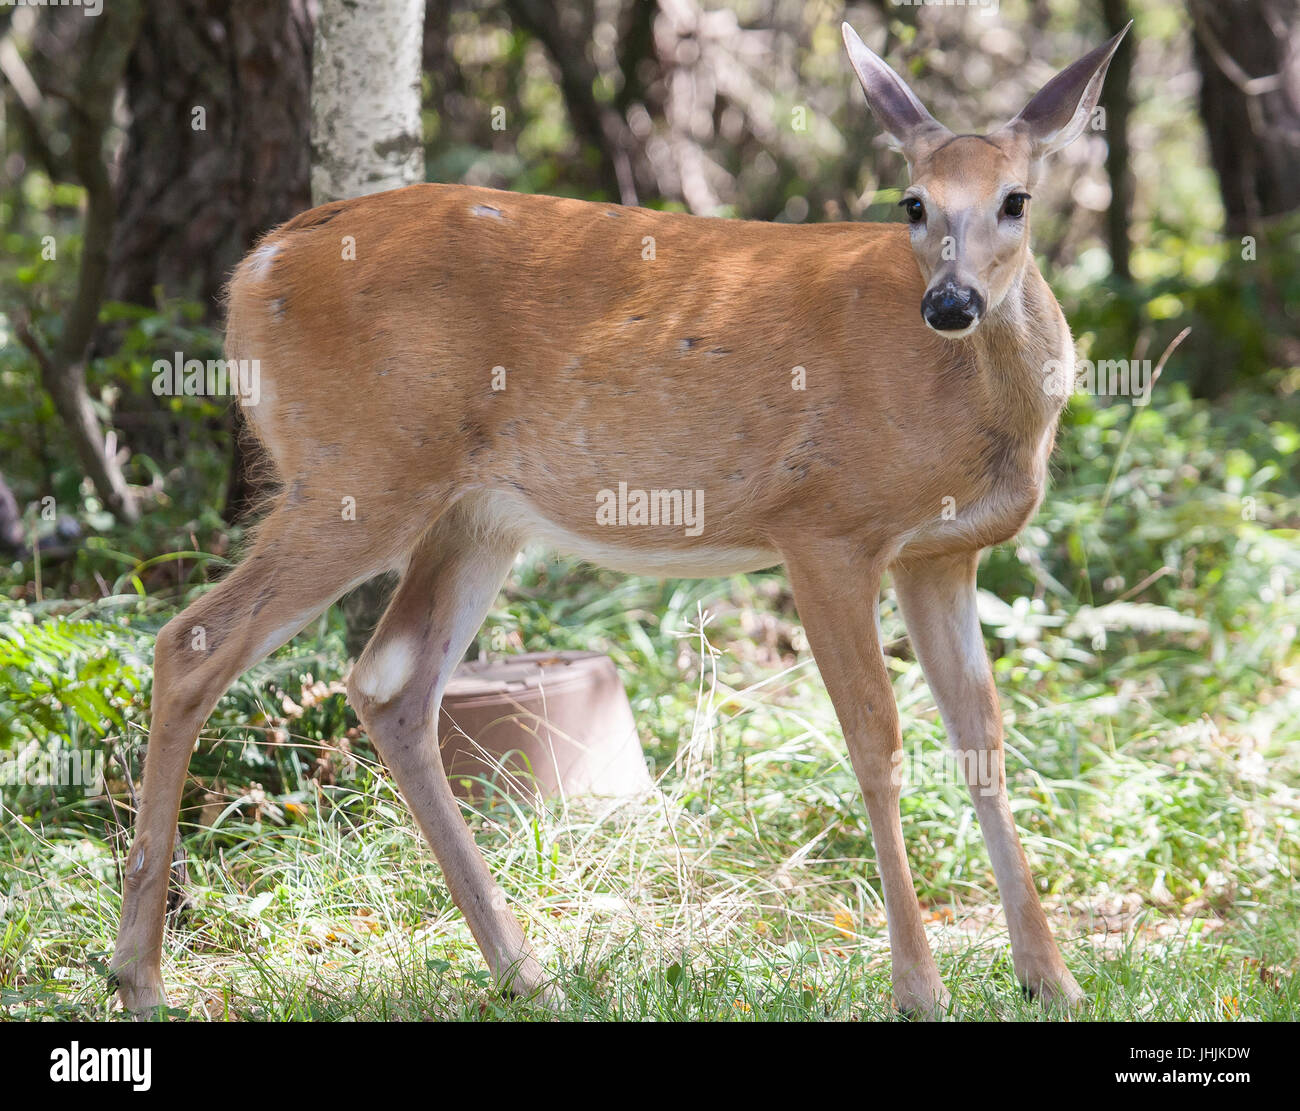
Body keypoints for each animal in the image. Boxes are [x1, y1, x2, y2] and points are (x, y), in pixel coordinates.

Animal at [110, 22, 1129, 1019]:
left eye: (1016, 200)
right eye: (913, 204)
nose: (950, 303)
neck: (974, 407)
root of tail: (257, 267)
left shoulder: (940, 555)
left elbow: (984, 743)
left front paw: (1053, 979)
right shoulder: (825, 526)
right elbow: (876, 744)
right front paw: (920, 988)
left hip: (474, 515)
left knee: (390, 681)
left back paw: (527, 973)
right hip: (357, 473)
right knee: (194, 641)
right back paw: (140, 977)